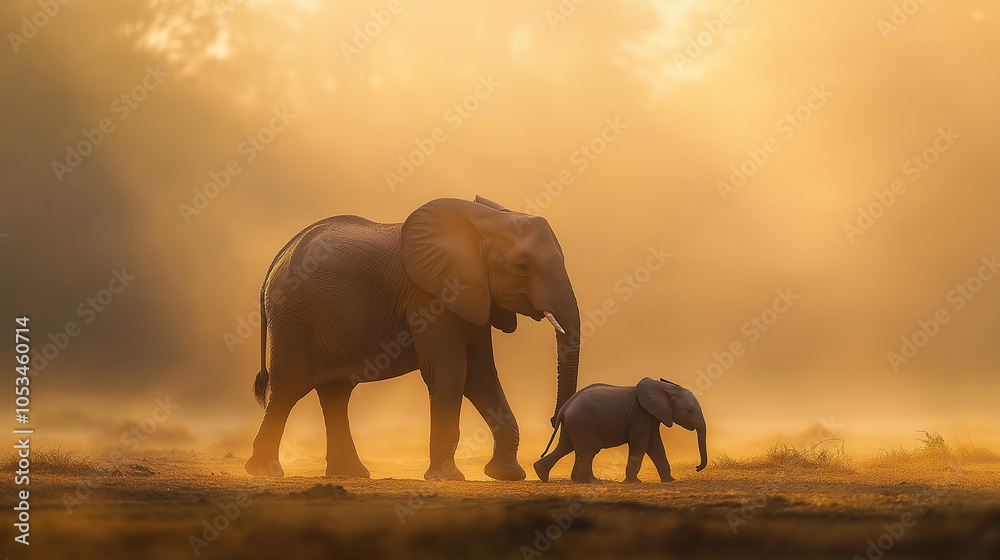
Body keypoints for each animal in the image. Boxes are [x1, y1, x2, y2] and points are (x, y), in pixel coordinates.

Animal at [244, 196, 581, 481]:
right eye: (522, 267)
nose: (554, 420)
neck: (484, 221)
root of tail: (280, 256)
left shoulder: (474, 293)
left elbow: (481, 374)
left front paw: (505, 475)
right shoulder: (429, 297)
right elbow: (450, 371)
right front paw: (448, 479)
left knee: (335, 392)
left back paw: (350, 474)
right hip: (293, 315)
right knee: (289, 386)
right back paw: (264, 472)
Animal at [533, 378, 707, 483]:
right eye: (690, 410)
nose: (697, 468)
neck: (664, 387)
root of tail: (565, 408)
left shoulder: (651, 416)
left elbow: (655, 445)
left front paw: (670, 480)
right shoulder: (641, 415)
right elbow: (640, 443)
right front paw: (634, 482)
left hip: (575, 424)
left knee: (566, 446)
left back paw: (541, 473)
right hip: (583, 423)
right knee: (588, 449)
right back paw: (592, 481)